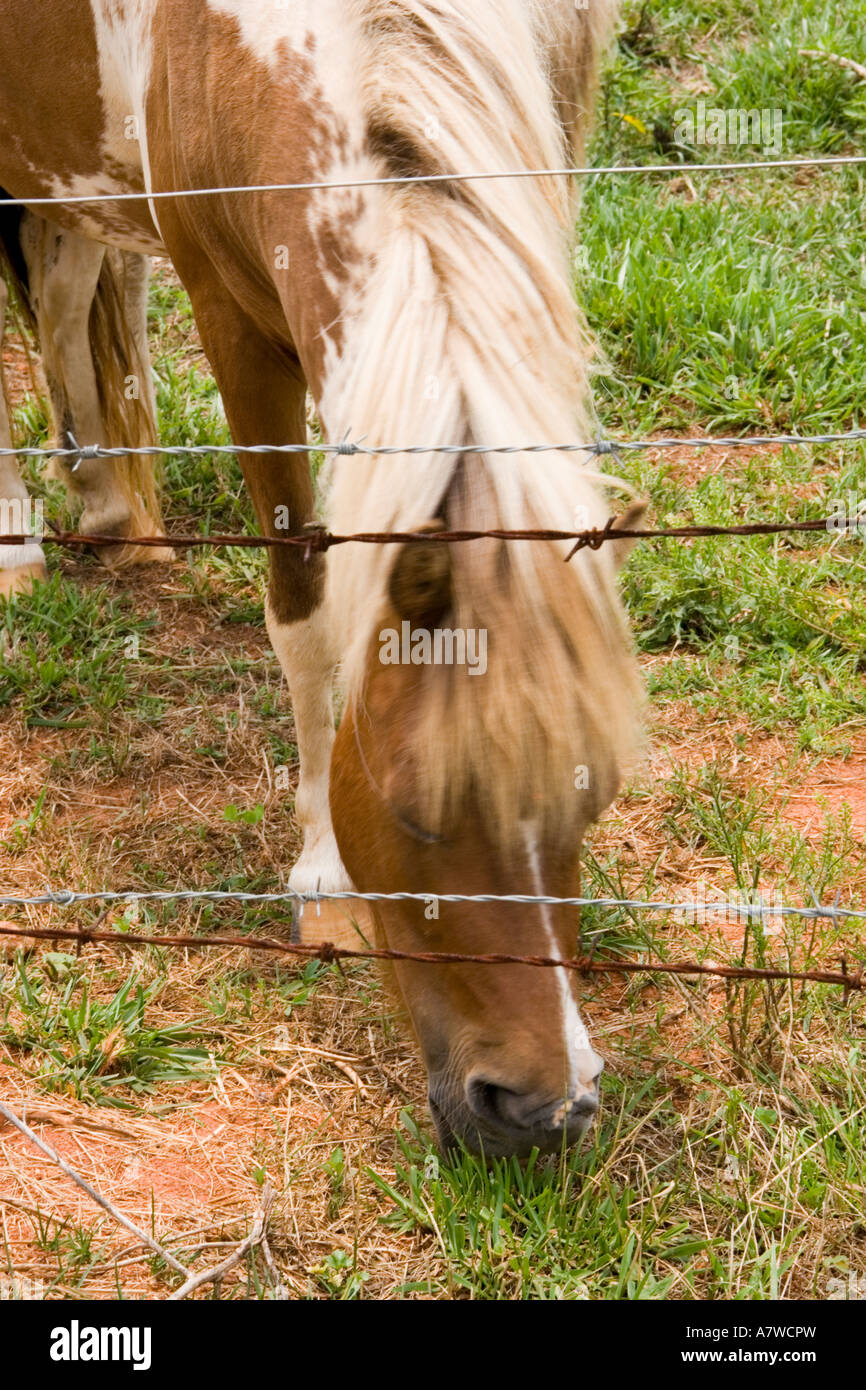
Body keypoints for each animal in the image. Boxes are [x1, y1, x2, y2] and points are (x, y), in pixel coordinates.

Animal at [0, 0, 643, 1156]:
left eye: (593, 794)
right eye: (414, 811)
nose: (543, 1111)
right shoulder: (236, 325)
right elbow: (302, 610)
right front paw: (323, 877)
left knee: (66, 275)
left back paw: (108, 504)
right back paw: (16, 546)